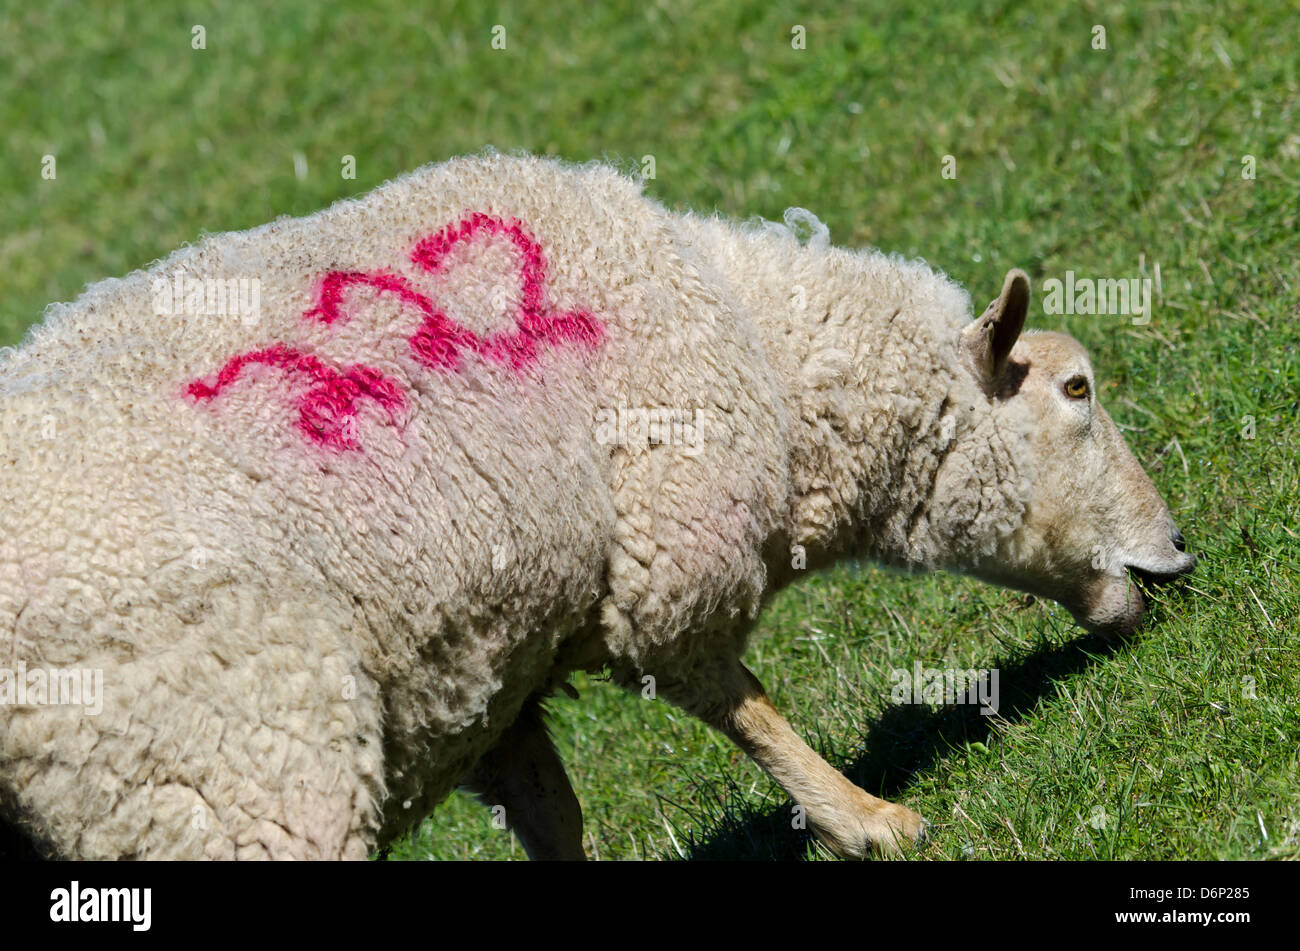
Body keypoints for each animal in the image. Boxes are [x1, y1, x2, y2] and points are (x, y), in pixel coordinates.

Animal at [0, 151, 1194, 860]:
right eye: (1076, 390)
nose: (1180, 551)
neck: (758, 345)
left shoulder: (479, 666)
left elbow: (551, 810)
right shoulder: (666, 554)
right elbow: (741, 706)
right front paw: (870, 820)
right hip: (239, 770)